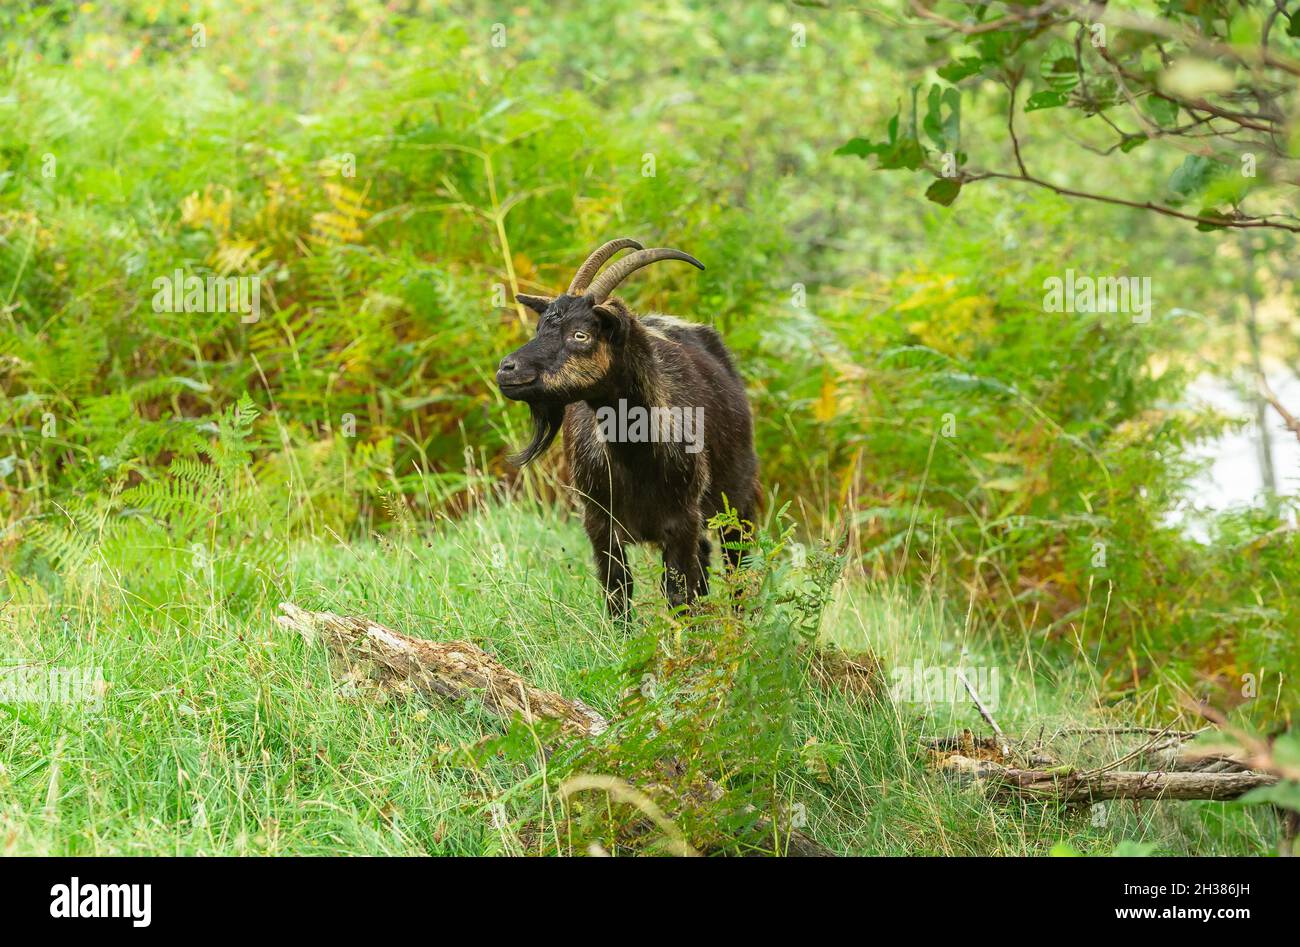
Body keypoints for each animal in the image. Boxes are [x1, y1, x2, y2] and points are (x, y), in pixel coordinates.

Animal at [495, 238, 759, 618]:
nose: (507, 368)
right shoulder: (600, 524)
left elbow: (679, 595)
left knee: (739, 563)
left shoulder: (682, 522)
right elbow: (618, 593)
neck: (637, 457)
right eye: (540, 328)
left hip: (737, 498)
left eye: (581, 334)